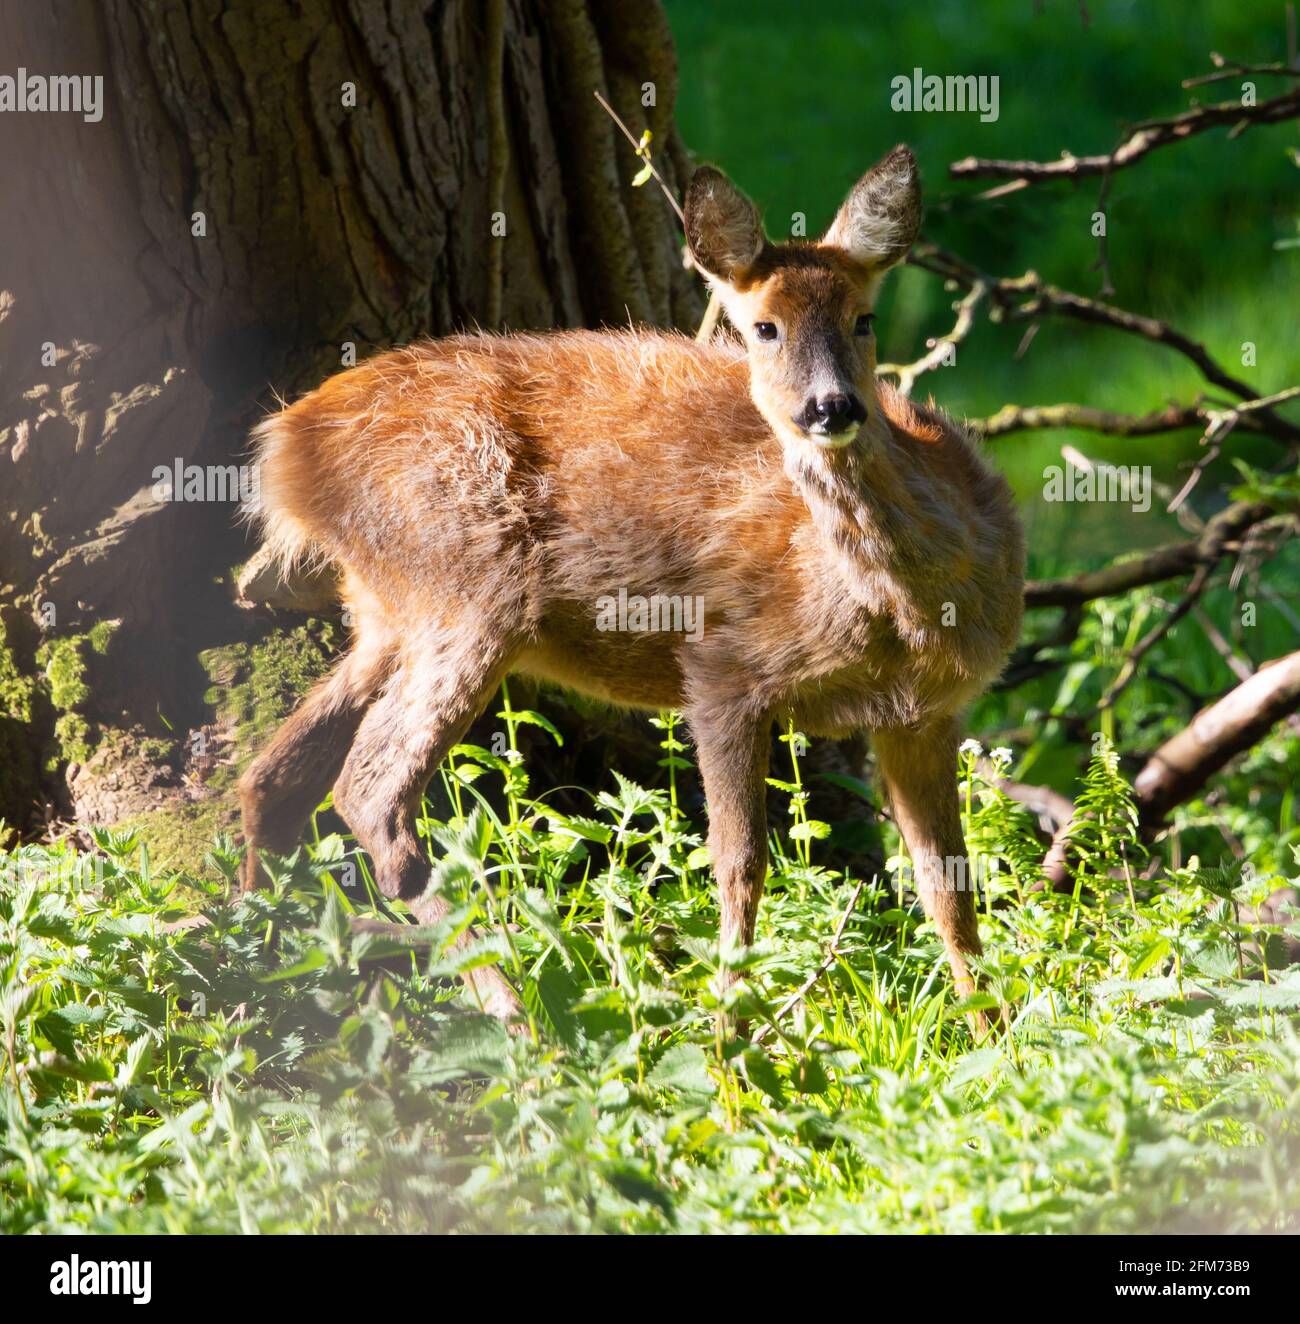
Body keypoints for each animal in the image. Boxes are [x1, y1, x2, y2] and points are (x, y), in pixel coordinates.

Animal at [238, 145, 1025, 1027]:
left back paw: (257, 968)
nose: (831, 407)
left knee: (275, 777)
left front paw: (990, 1029)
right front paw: (729, 1021)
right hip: (466, 587)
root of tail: (285, 444)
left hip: (386, 612)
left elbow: (946, 883)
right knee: (371, 792)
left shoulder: (926, 712)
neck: (912, 603)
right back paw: (515, 1014)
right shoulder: (724, 668)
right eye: (763, 327)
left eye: (864, 318)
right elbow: (740, 861)